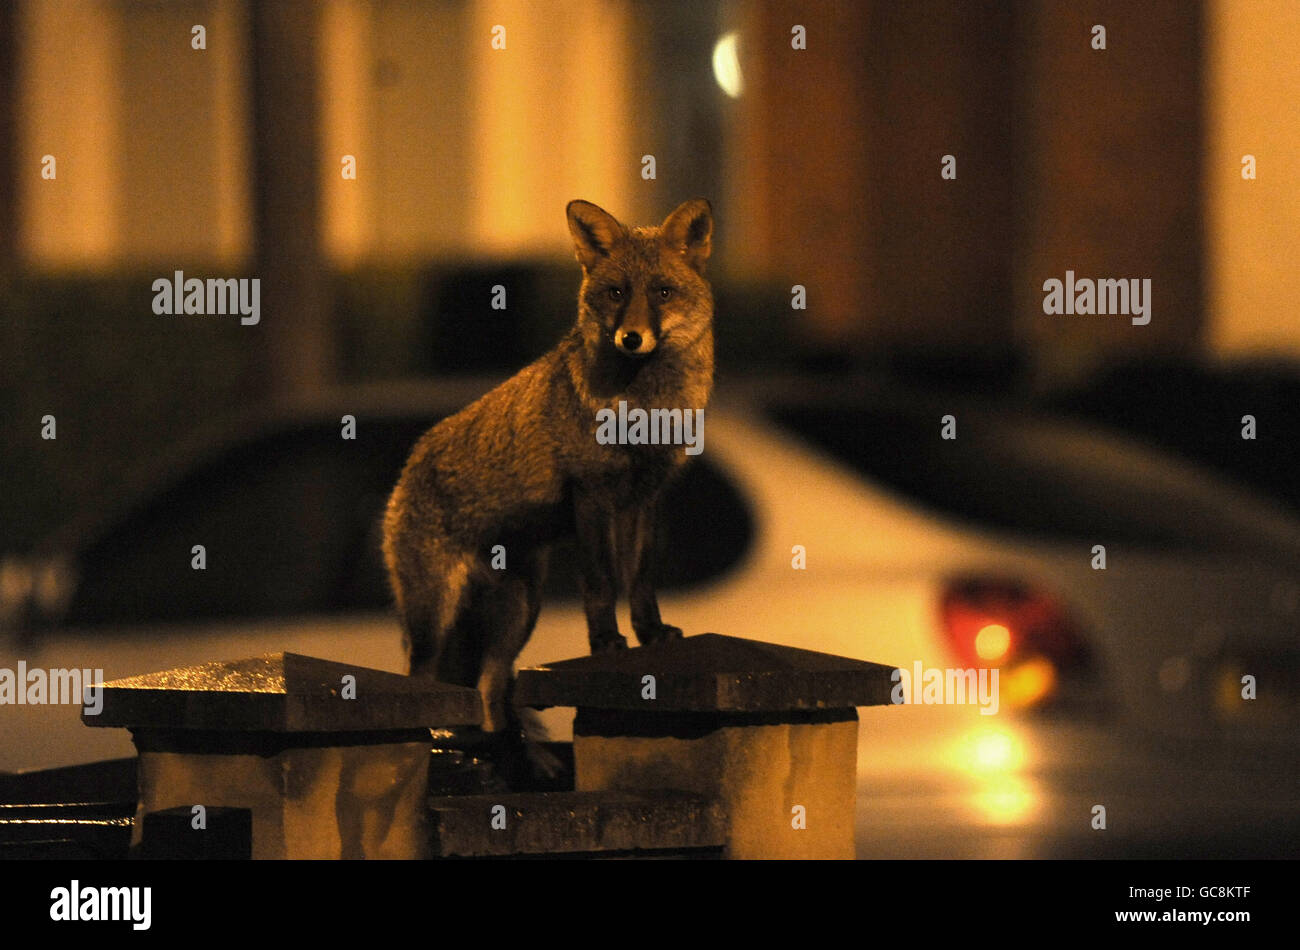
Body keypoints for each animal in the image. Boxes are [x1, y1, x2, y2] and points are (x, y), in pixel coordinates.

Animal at [382, 197, 714, 741]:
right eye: (616, 292)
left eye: (663, 292)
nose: (631, 338)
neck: (645, 409)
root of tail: (409, 465)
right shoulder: (591, 494)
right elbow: (601, 583)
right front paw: (606, 644)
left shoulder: (647, 497)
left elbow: (640, 579)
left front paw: (651, 635)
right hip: (435, 615)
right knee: (423, 679)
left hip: (519, 612)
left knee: (490, 689)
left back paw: (507, 748)